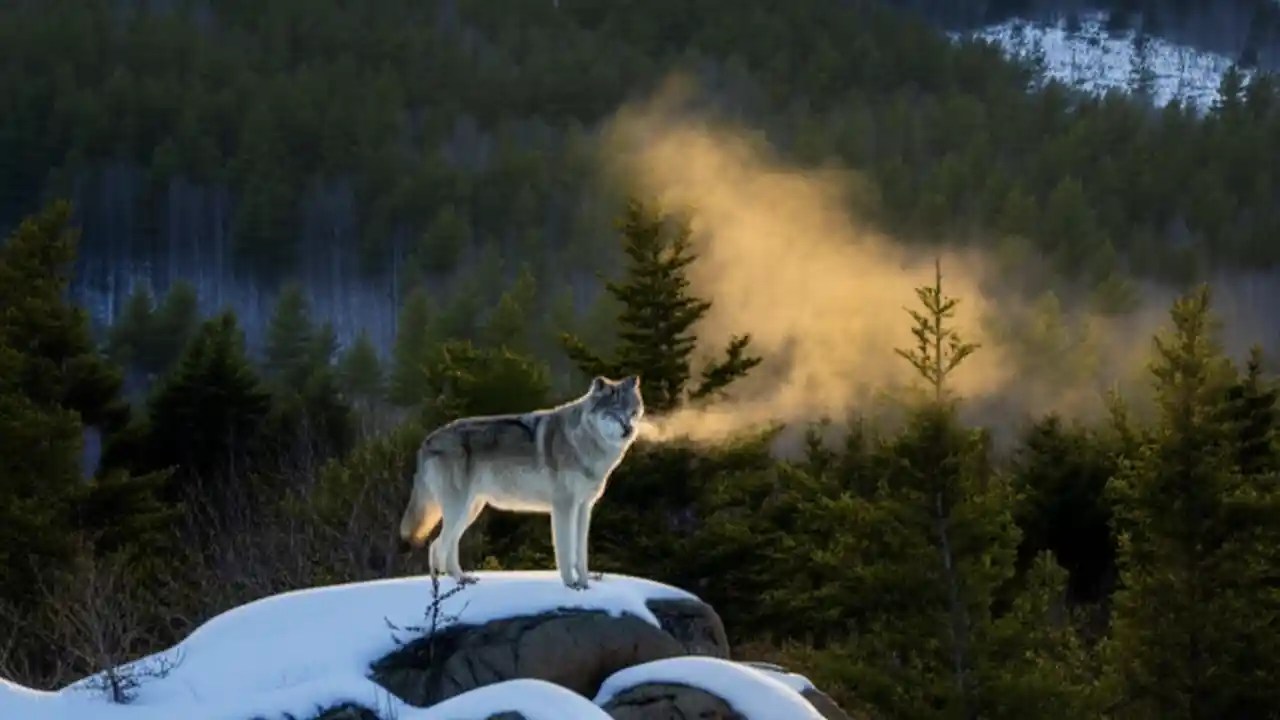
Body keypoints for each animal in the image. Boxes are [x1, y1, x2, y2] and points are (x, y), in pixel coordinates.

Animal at [397, 375, 644, 590]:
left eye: (632, 412)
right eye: (613, 413)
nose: (629, 429)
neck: (583, 442)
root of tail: (427, 441)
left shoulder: (584, 508)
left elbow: (581, 556)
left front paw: (585, 585)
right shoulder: (563, 507)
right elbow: (566, 553)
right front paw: (570, 586)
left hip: (469, 511)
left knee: (441, 546)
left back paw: (456, 582)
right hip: (458, 510)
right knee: (437, 546)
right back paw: (449, 585)